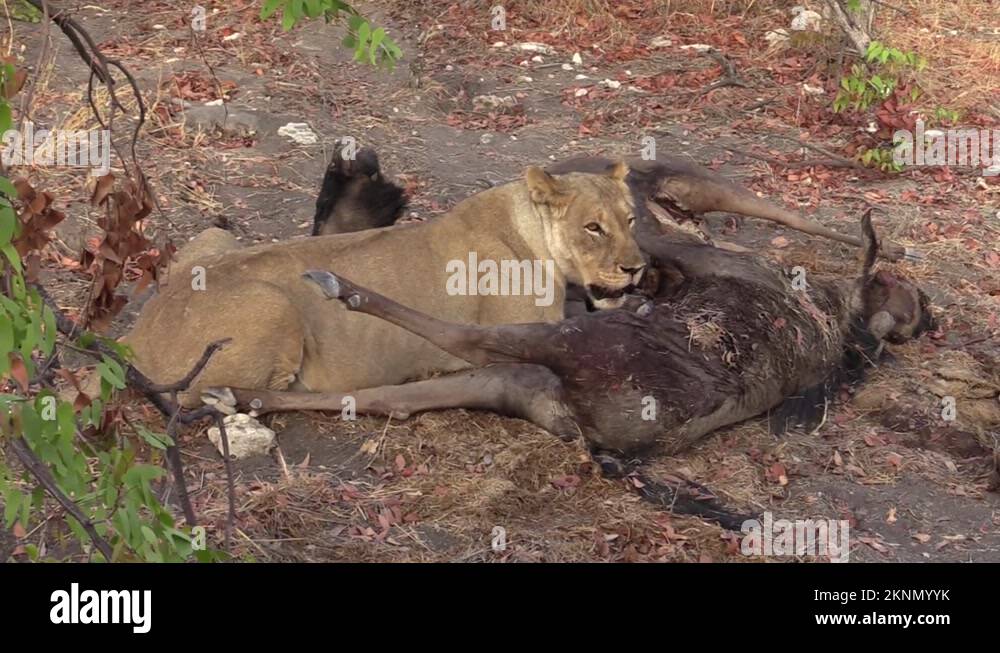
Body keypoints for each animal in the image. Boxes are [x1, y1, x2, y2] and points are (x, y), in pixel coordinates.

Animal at [125, 162, 646, 406]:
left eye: (630, 220)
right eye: (593, 228)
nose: (636, 268)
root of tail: (134, 339)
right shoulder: (515, 336)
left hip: (215, 239)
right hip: (272, 302)